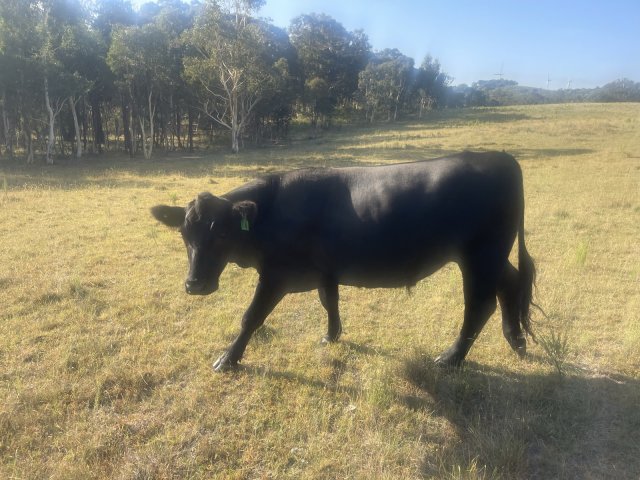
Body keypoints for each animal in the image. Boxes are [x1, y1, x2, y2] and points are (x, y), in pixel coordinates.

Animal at [151, 151, 536, 371]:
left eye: (221, 234)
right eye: (184, 234)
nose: (194, 284)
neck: (273, 211)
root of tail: (499, 156)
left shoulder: (275, 274)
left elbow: (251, 317)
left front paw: (227, 359)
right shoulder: (326, 270)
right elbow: (329, 301)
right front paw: (332, 336)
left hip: (480, 253)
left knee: (479, 305)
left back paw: (450, 358)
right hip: (491, 255)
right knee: (511, 284)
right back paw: (515, 340)